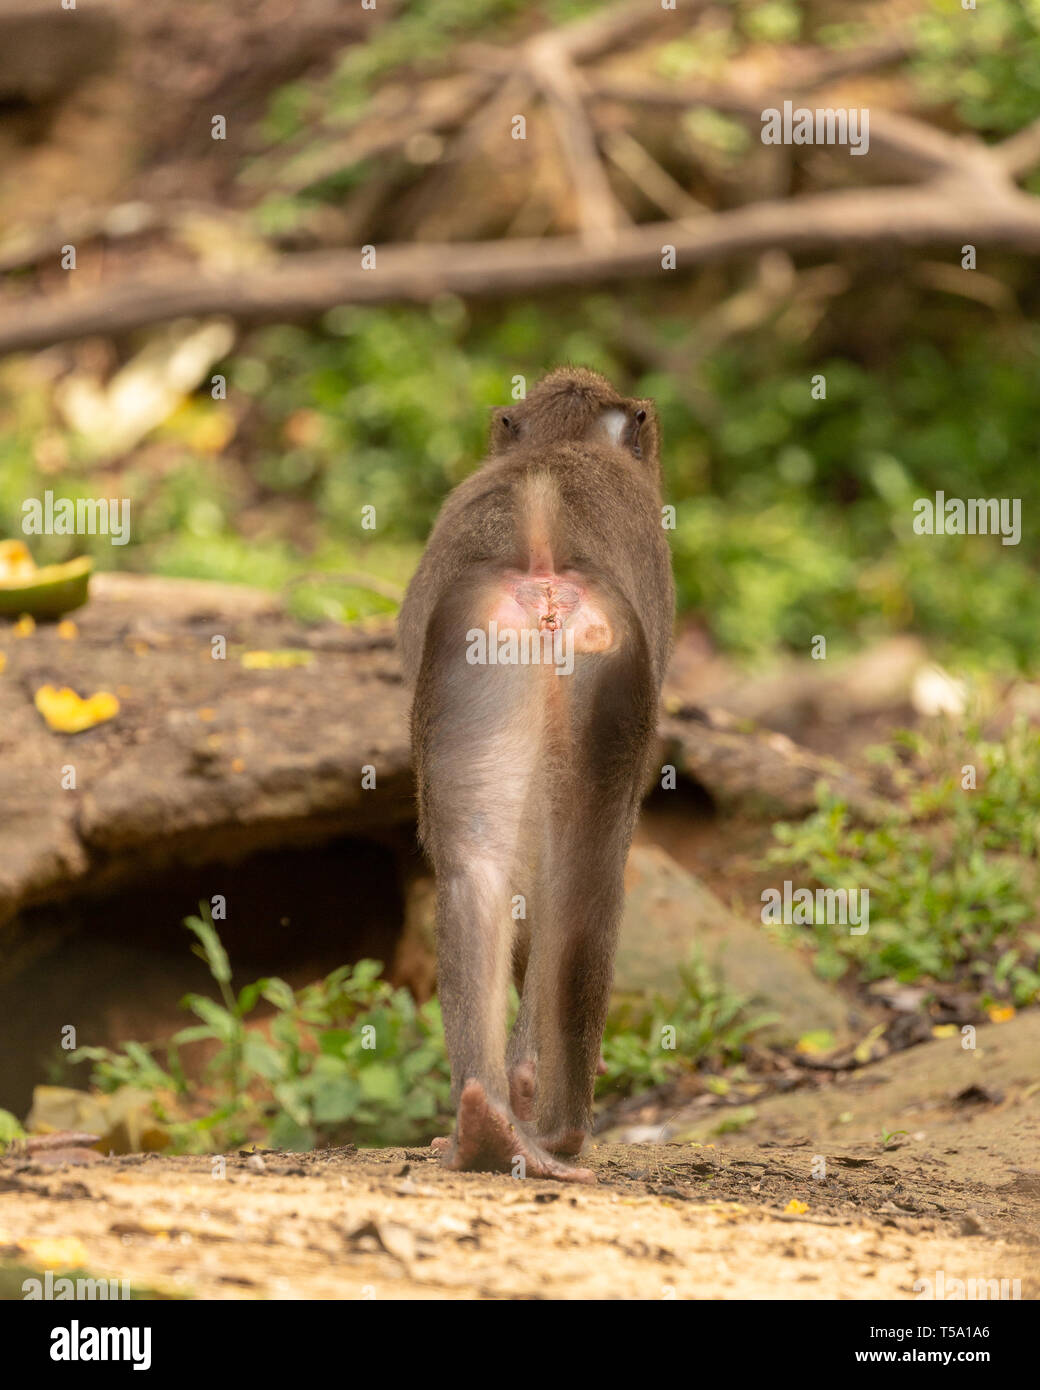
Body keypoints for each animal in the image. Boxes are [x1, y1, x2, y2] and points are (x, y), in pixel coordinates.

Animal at [398, 367, 674, 1182]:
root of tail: (545, 563)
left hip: (473, 654)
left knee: (479, 875)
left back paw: (492, 1126)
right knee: (580, 883)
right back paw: (553, 1130)